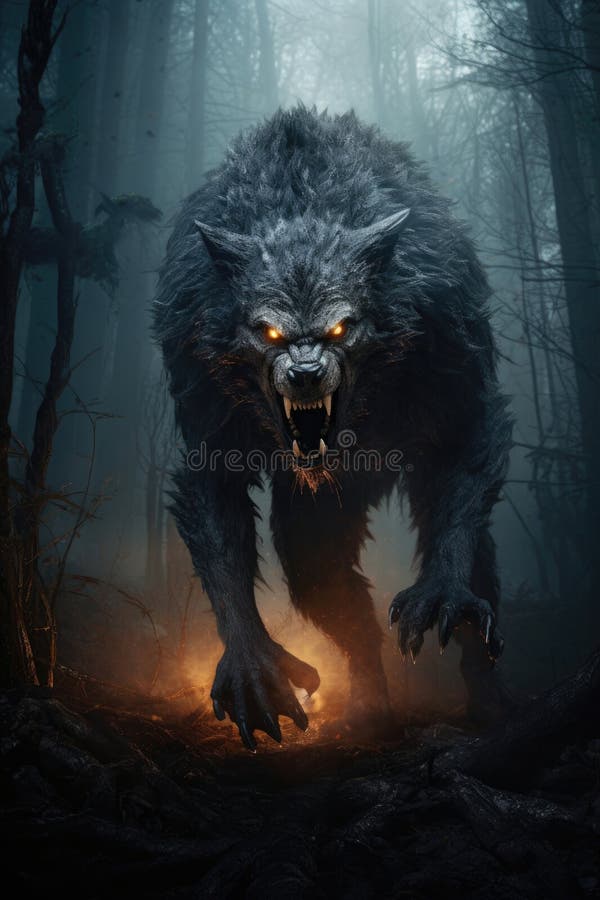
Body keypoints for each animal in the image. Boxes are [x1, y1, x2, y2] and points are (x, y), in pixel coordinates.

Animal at [154, 106, 512, 749]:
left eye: (342, 327)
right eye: (269, 331)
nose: (304, 373)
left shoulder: (450, 344)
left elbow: (469, 445)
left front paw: (444, 590)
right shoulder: (198, 384)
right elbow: (212, 494)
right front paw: (252, 665)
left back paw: (488, 702)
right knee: (317, 568)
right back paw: (370, 708)